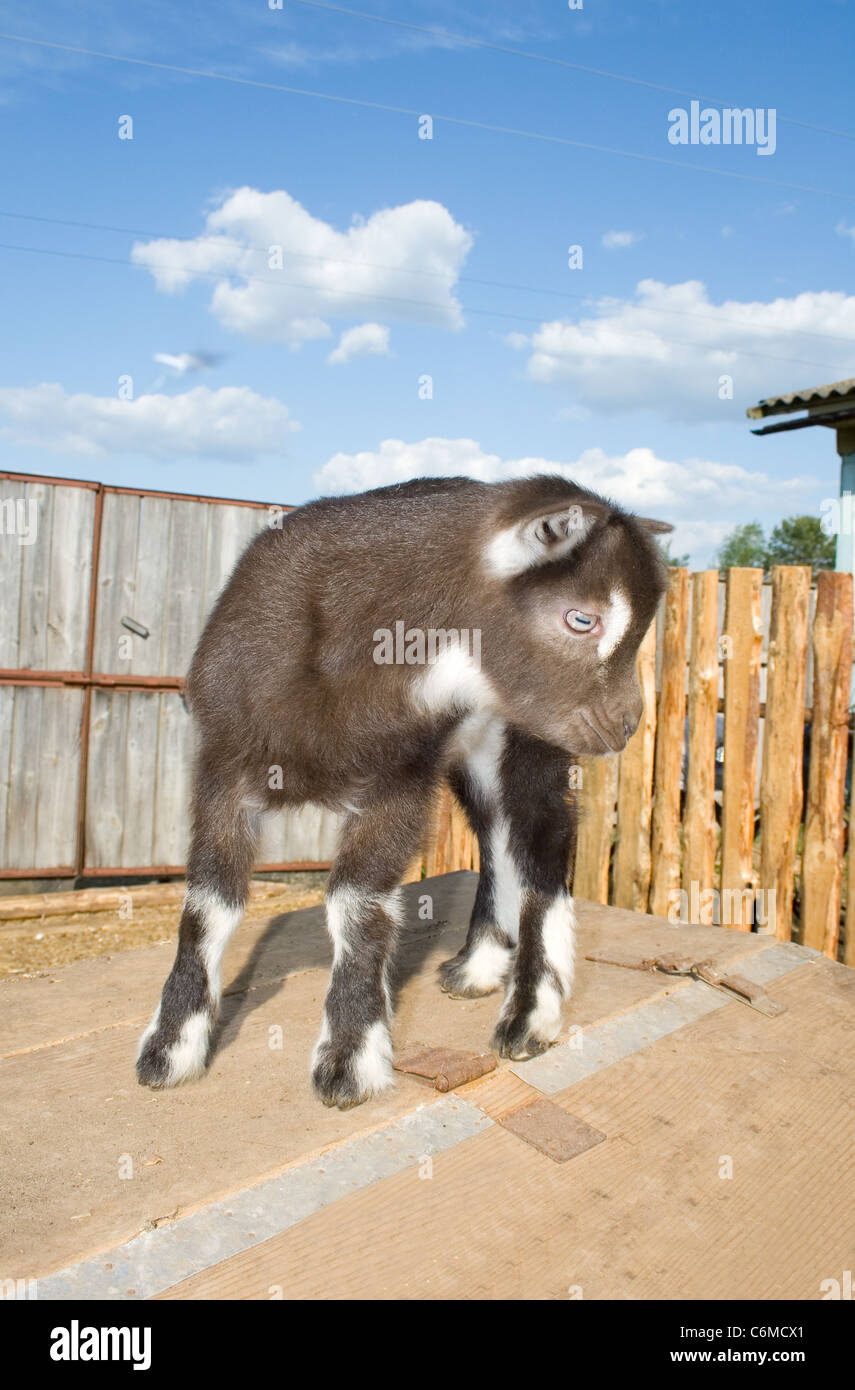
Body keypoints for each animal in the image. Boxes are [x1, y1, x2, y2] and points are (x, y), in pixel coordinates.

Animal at [137, 475, 670, 1109]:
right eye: (582, 620)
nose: (627, 724)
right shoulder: (224, 767)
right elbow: (207, 905)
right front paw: (170, 1049)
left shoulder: (398, 779)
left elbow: (355, 904)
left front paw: (349, 1061)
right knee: (496, 835)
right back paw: (478, 967)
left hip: (530, 736)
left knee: (543, 836)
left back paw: (528, 1016)